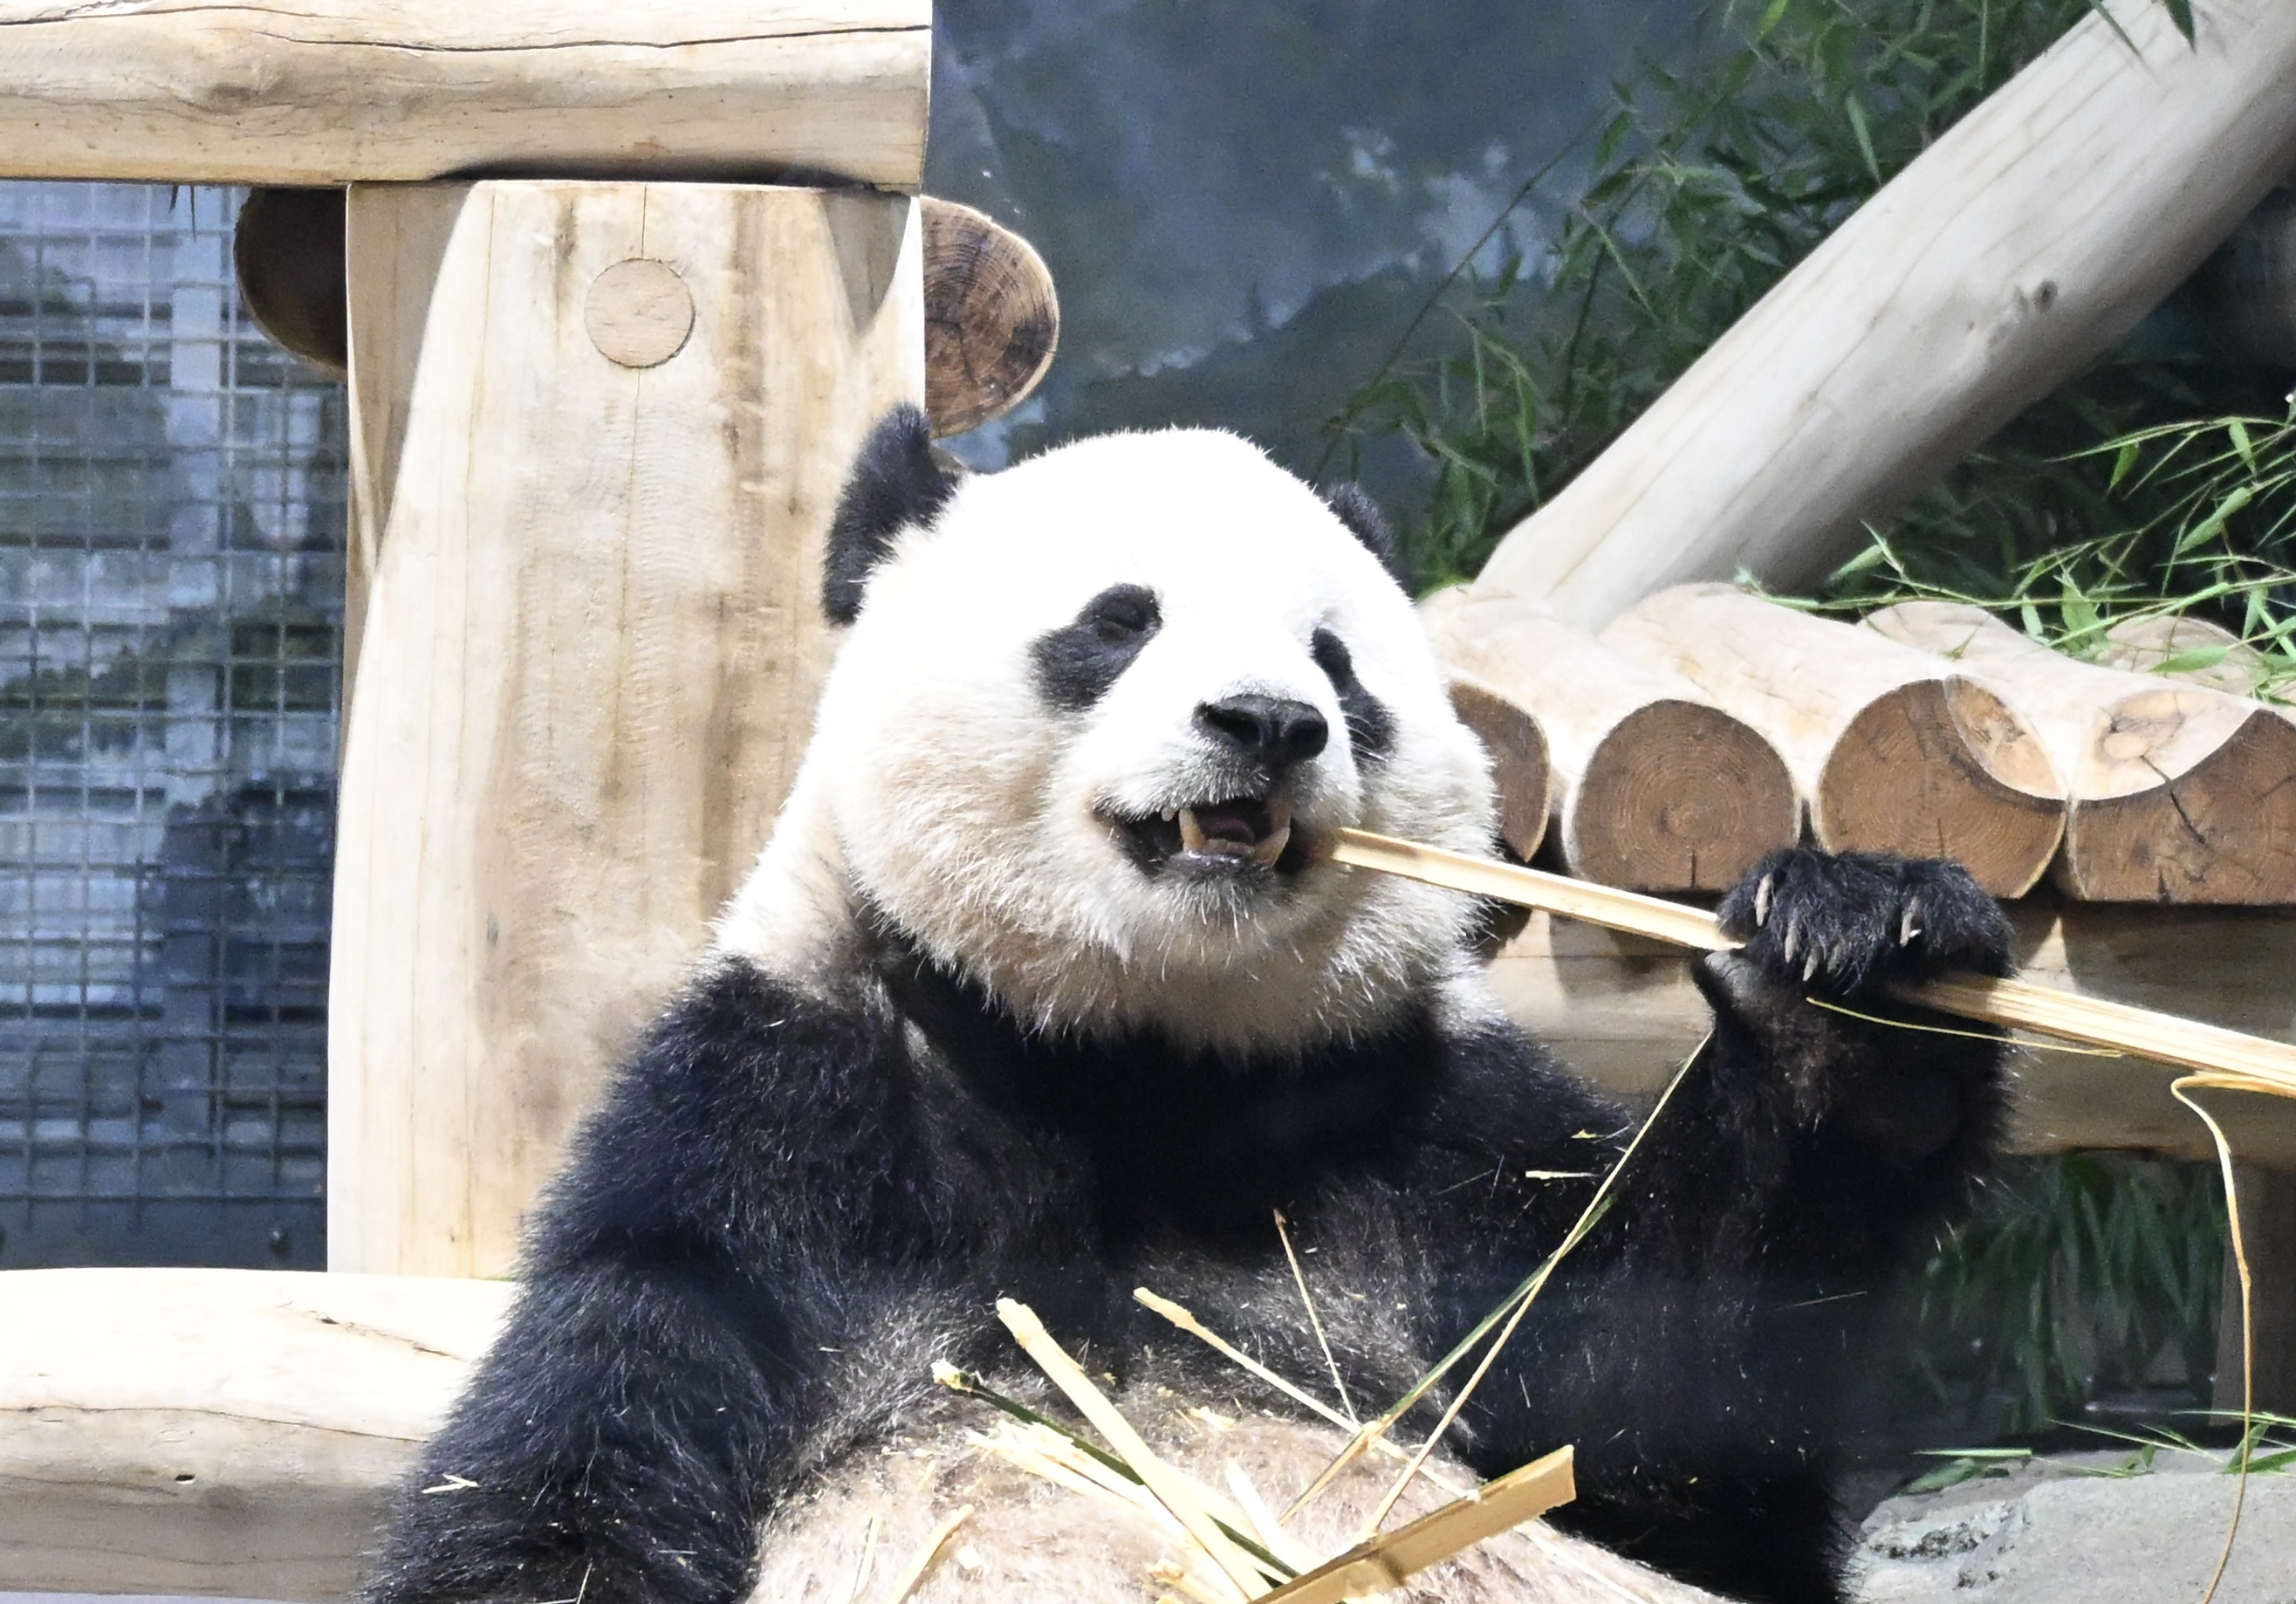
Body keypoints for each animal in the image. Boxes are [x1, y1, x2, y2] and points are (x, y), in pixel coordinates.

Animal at [359, 407, 2013, 1604]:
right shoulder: (774, 1124)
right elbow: (570, 1472)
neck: (1127, 1058)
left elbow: (1673, 1449)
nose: (1267, 722)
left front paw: (1856, 980)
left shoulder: (1426, 1136)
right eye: (1116, 621)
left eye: (1339, 663)